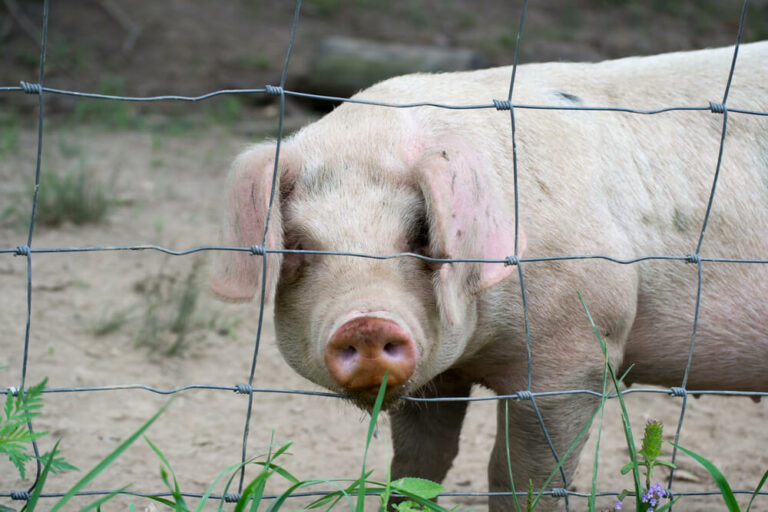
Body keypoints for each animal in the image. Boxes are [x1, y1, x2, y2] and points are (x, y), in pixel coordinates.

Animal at [211, 42, 768, 511]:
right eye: (299, 244)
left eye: (421, 233)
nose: (366, 323)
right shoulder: (440, 379)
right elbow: (417, 468)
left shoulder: (578, 354)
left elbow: (521, 480)